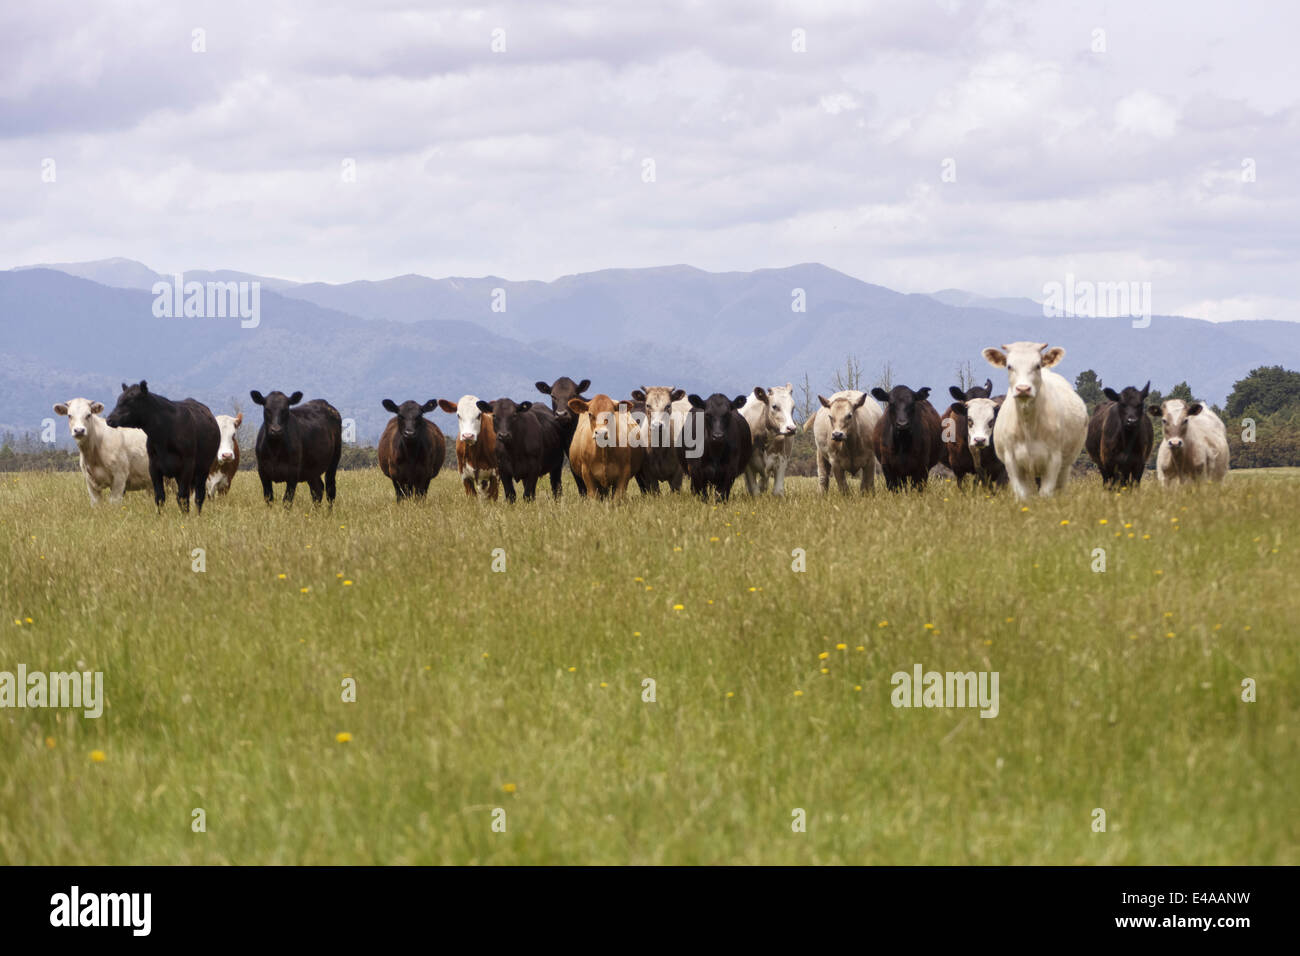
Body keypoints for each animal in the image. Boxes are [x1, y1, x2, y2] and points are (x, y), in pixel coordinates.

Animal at [104, 381, 220, 513]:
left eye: (130, 401)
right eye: (119, 400)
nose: (109, 419)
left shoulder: (187, 466)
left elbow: (182, 496)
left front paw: (185, 517)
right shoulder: (154, 467)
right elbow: (160, 497)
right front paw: (160, 516)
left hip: (203, 469)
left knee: (199, 495)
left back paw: (197, 515)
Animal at [982, 342, 1088, 499]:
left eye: (1037, 365)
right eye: (1009, 366)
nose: (1023, 388)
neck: (1028, 425)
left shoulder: (1053, 460)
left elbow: (1046, 493)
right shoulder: (1012, 462)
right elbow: (1023, 495)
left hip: (1066, 465)